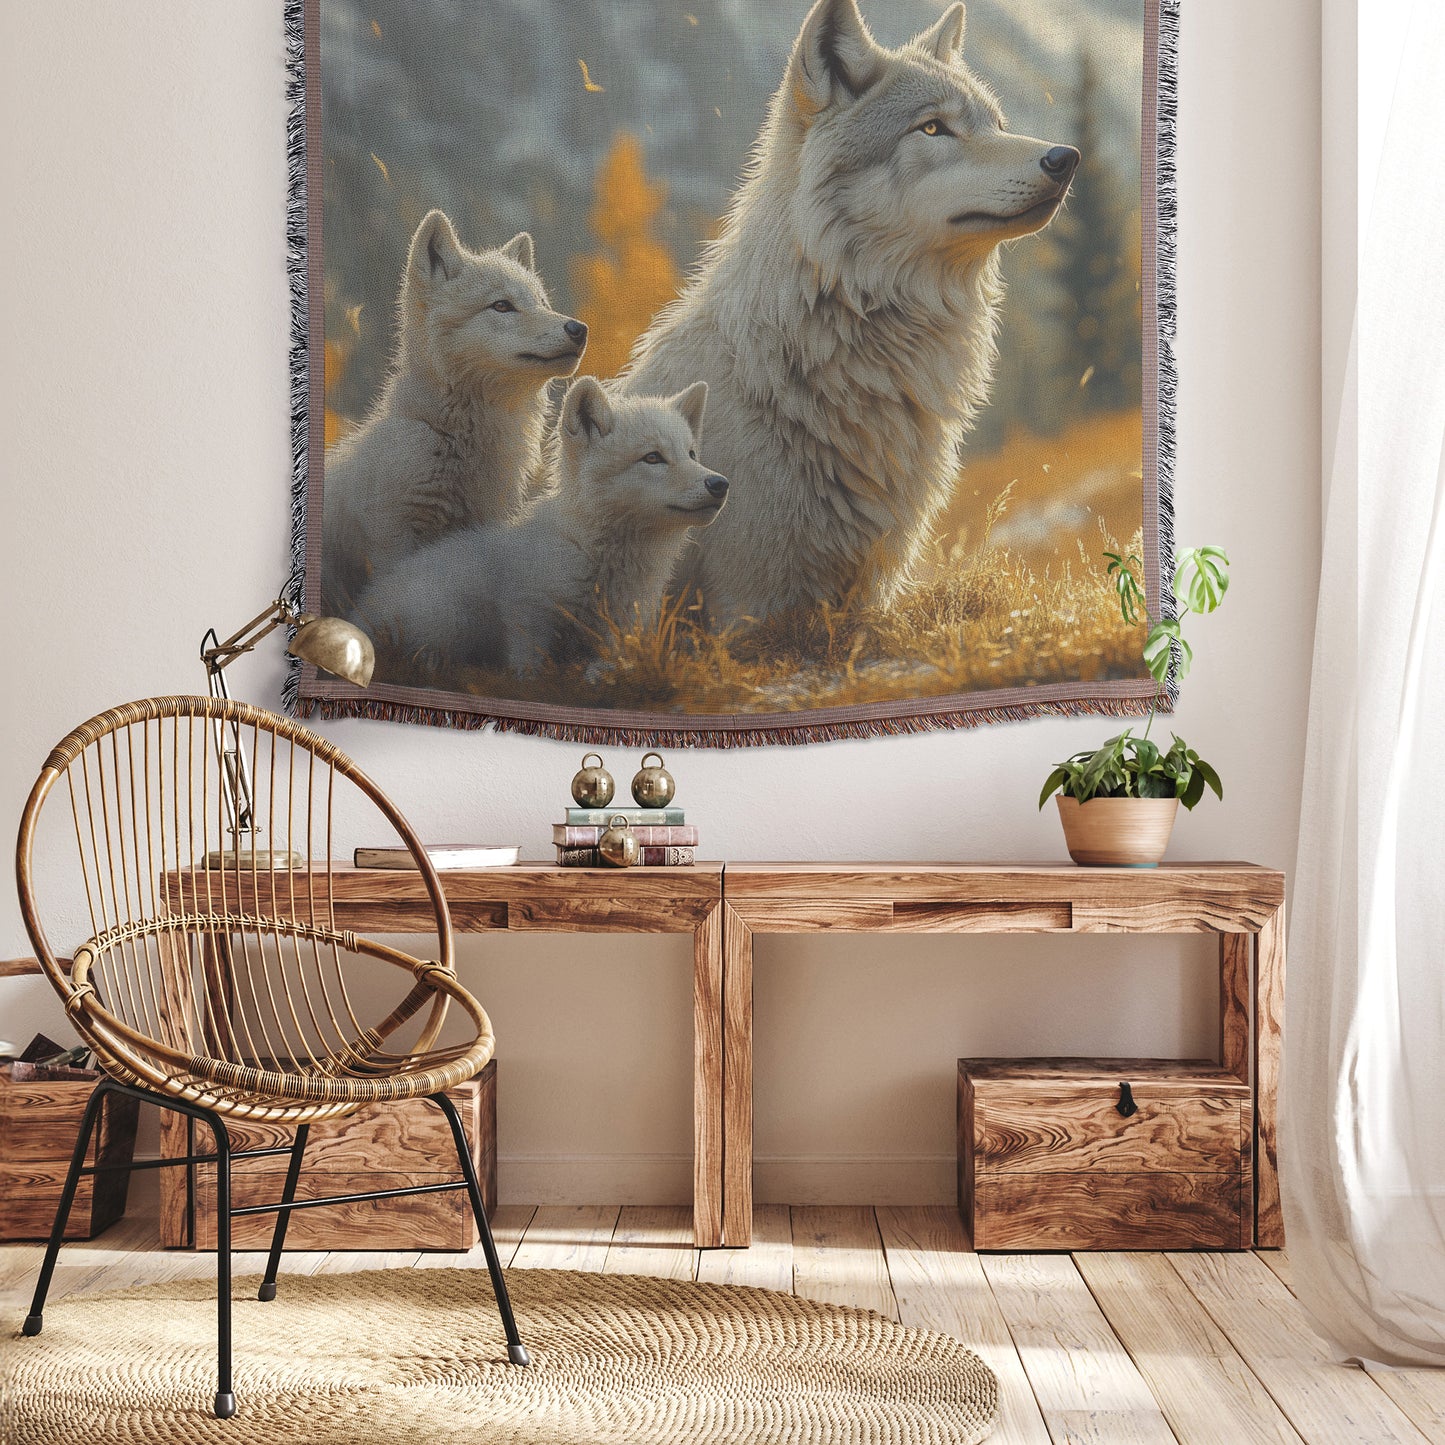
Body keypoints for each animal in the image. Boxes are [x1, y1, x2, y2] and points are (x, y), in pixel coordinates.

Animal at [352, 379, 729, 676]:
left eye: (691, 454)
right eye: (652, 458)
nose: (719, 484)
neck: (596, 556)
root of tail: (362, 612)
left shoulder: (617, 629)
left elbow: (604, 665)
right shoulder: (529, 615)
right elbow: (529, 669)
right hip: (448, 615)